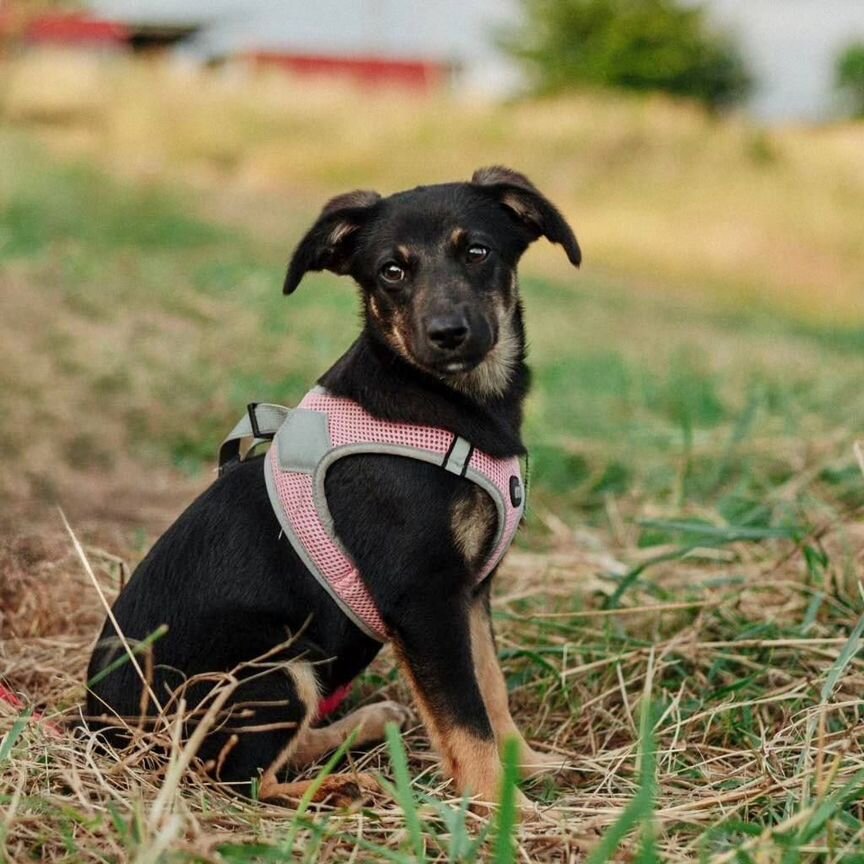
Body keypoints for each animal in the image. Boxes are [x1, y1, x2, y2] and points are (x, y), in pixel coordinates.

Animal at [86, 165, 580, 808]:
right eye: (391, 271)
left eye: (477, 252)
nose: (446, 333)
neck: (450, 404)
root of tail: (99, 731)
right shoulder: (423, 597)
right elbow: (465, 716)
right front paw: (501, 805)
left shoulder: (469, 593)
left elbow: (491, 689)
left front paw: (527, 763)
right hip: (272, 664)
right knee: (238, 776)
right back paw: (340, 785)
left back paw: (365, 725)